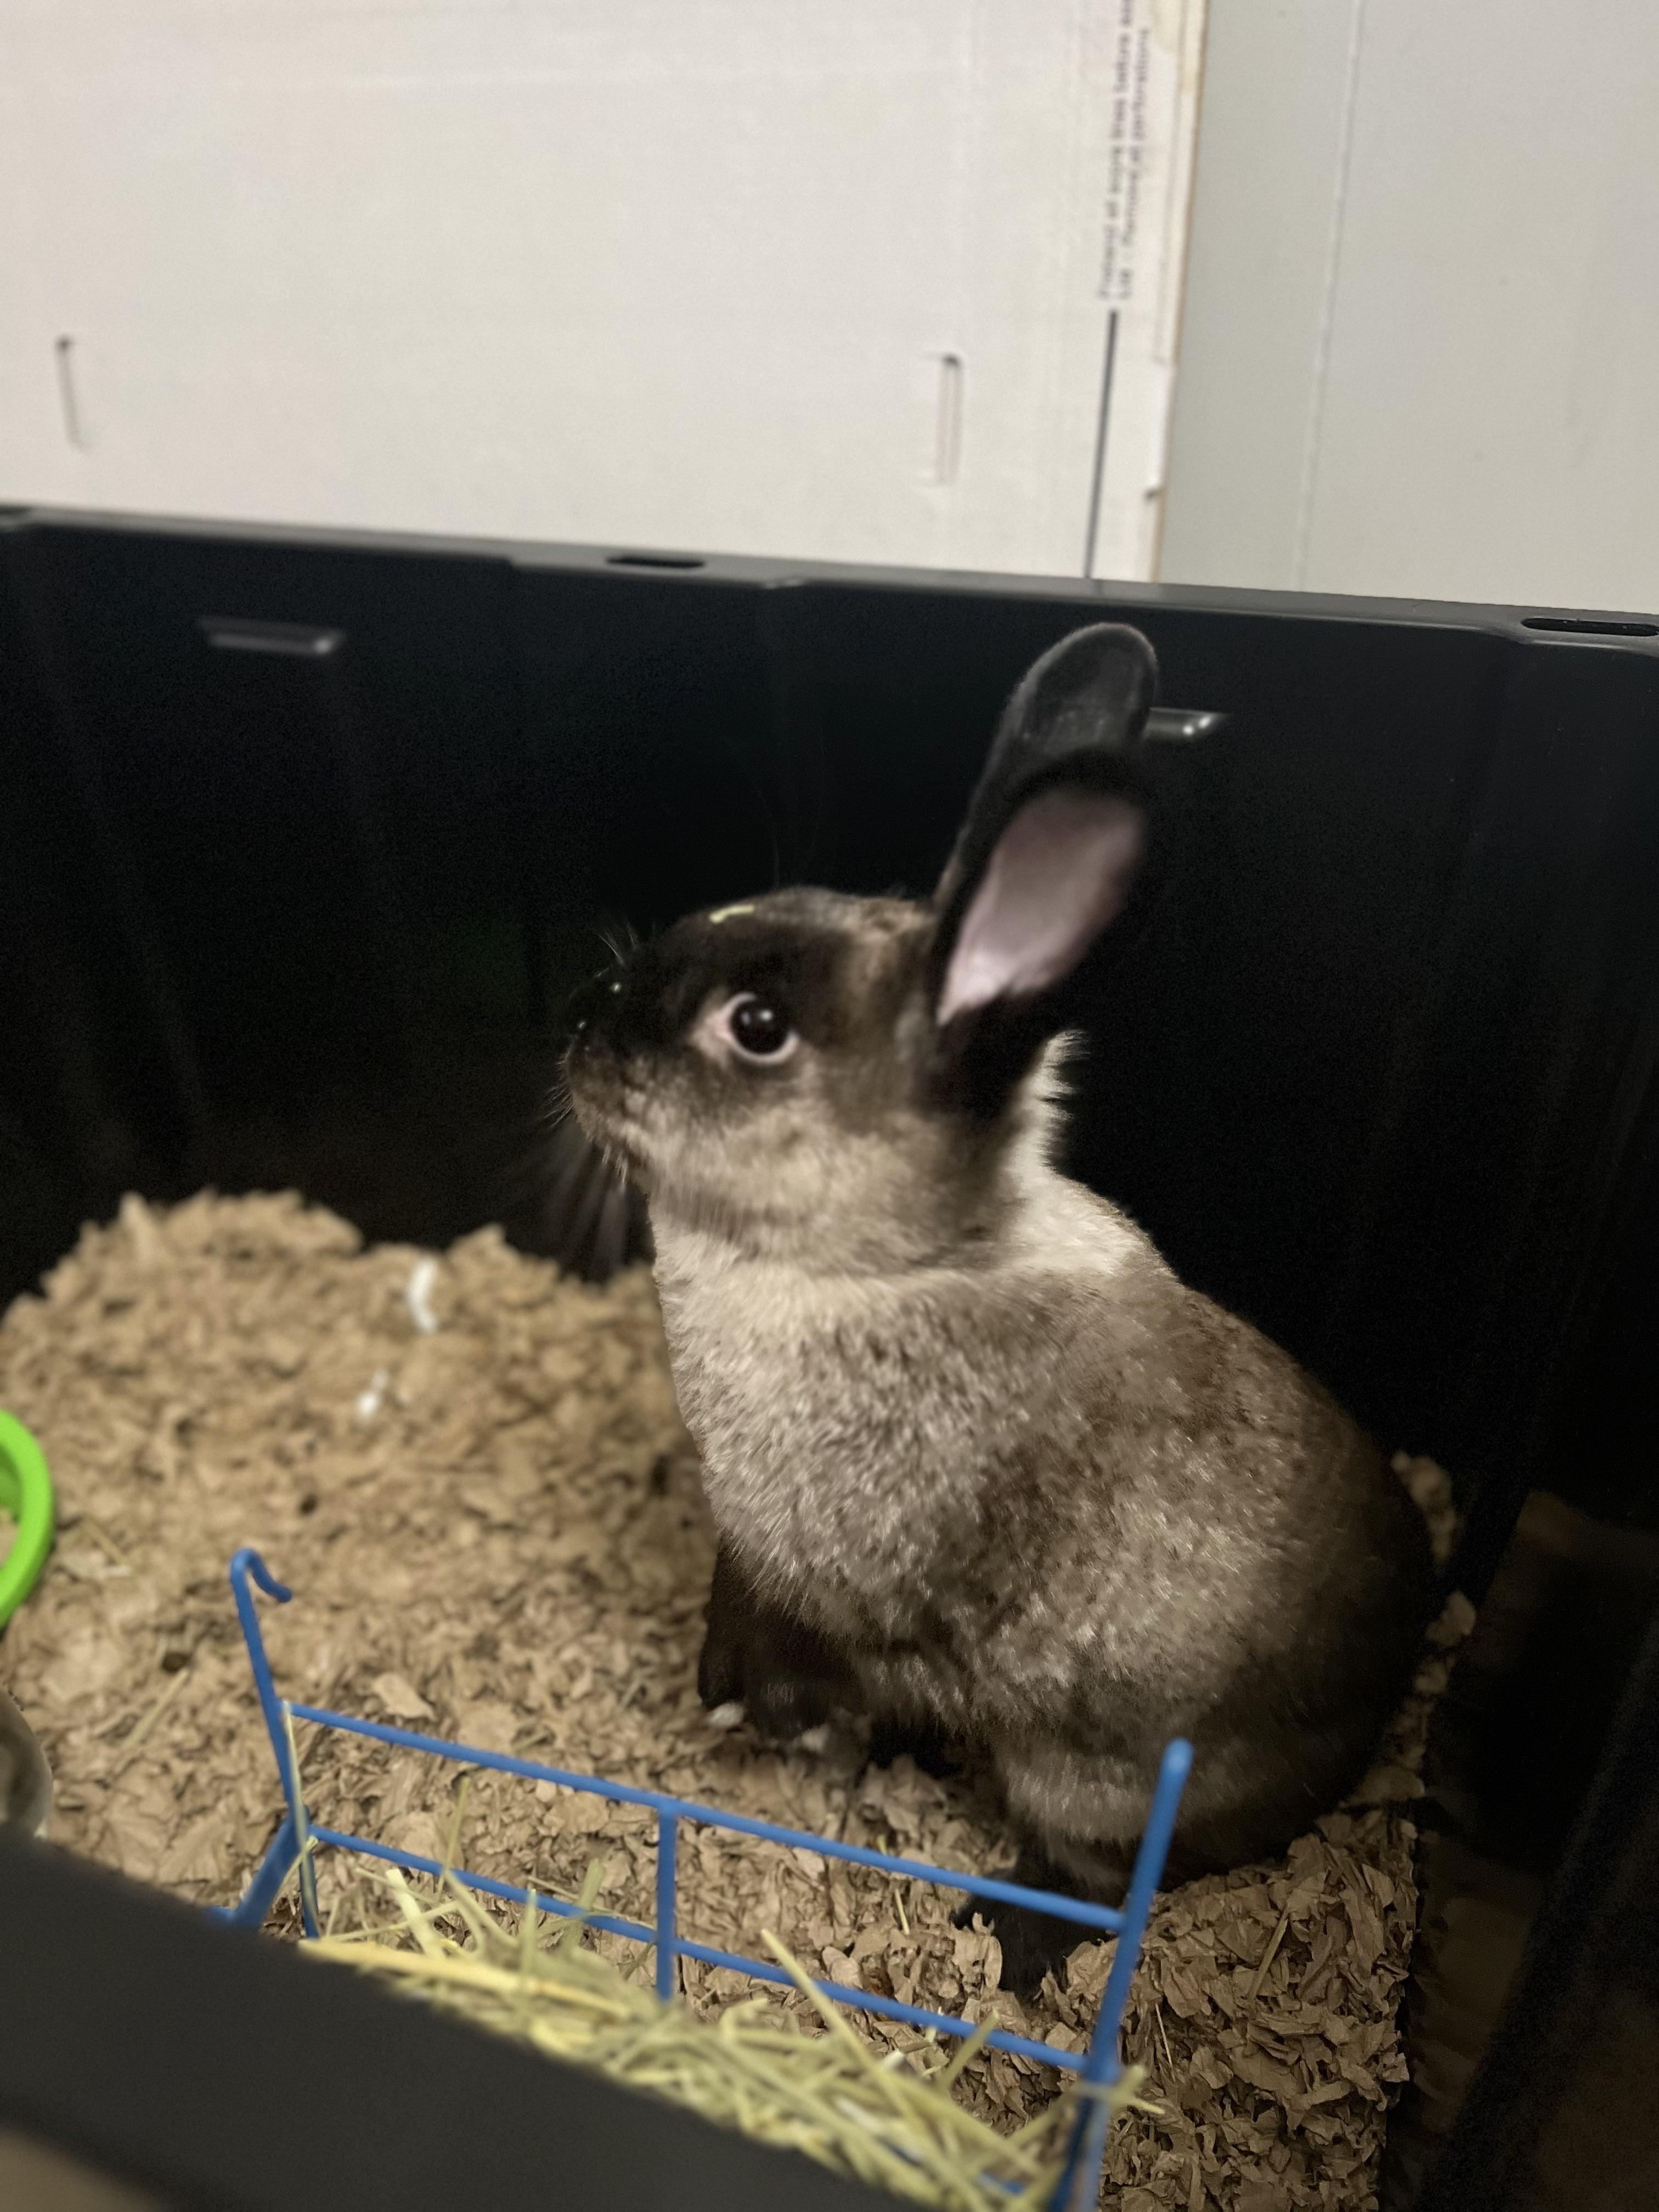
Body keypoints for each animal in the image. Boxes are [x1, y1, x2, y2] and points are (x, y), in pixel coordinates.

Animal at [563, 621, 1436, 1998]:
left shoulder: (825, 1588)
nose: (582, 1027)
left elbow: (792, 1642)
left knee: (1089, 1880)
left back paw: (1002, 1948)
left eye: (756, 1026)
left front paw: (751, 1708)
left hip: (1092, 1779)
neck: (869, 1268)